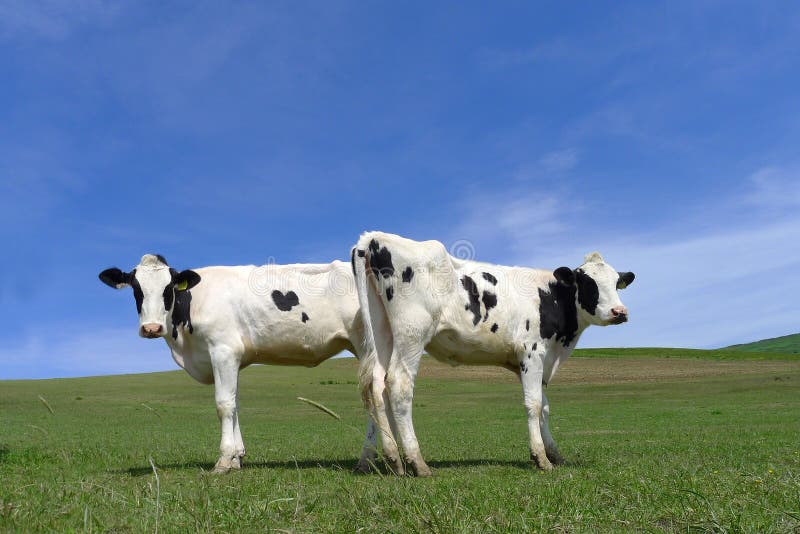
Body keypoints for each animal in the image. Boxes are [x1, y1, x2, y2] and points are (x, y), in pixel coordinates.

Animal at [99, 253, 379, 473]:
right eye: (136, 288)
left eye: (168, 288)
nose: (151, 328)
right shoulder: (233, 358)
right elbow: (234, 405)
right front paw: (237, 457)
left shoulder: (223, 351)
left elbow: (223, 404)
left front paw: (224, 460)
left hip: (366, 345)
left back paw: (367, 459)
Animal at [352, 232, 635, 476]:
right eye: (587, 283)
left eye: (616, 284)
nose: (619, 312)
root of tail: (374, 237)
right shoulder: (531, 352)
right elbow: (533, 405)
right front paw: (541, 458)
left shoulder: (535, 362)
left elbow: (544, 407)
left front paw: (555, 454)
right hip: (412, 333)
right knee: (398, 385)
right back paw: (416, 462)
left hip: (383, 333)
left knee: (377, 385)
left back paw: (387, 458)